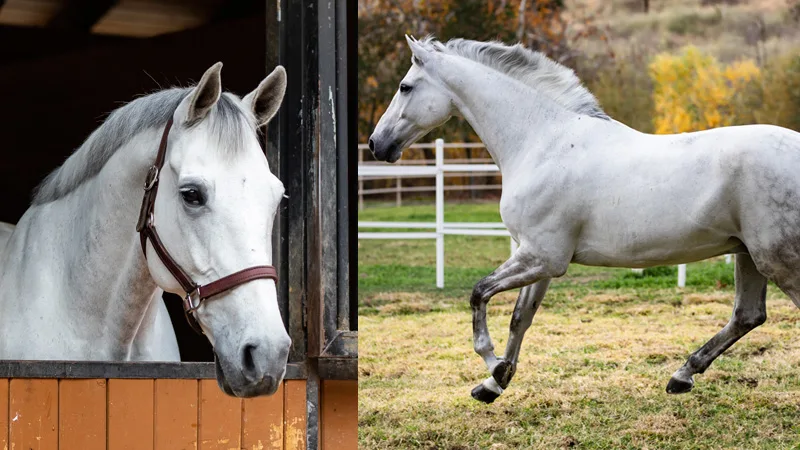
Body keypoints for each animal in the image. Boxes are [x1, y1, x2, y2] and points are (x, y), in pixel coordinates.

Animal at [369, 35, 800, 404]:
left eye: (405, 87)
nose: (376, 144)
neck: (543, 142)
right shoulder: (538, 260)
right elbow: (519, 318)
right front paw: (494, 383)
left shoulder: (543, 257)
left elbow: (479, 293)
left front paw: (492, 364)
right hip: (749, 254)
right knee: (747, 315)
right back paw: (681, 376)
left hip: (777, 259)